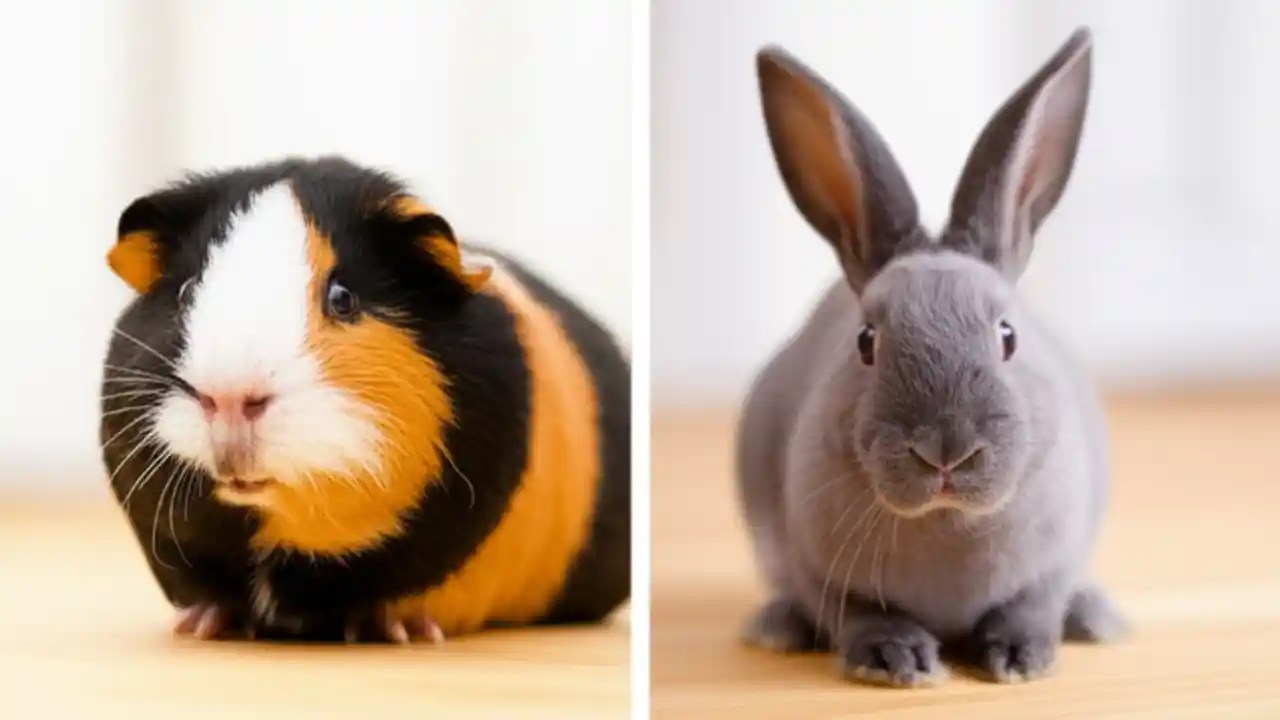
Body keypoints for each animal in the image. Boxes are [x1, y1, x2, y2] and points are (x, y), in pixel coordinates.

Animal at [737, 27, 1127, 687]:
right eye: (866, 342)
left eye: (1008, 336)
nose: (946, 450)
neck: (947, 519)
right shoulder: (820, 569)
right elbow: (859, 614)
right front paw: (896, 660)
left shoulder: (1054, 558)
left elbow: (1032, 604)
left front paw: (1020, 658)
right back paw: (776, 628)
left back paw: (1099, 619)